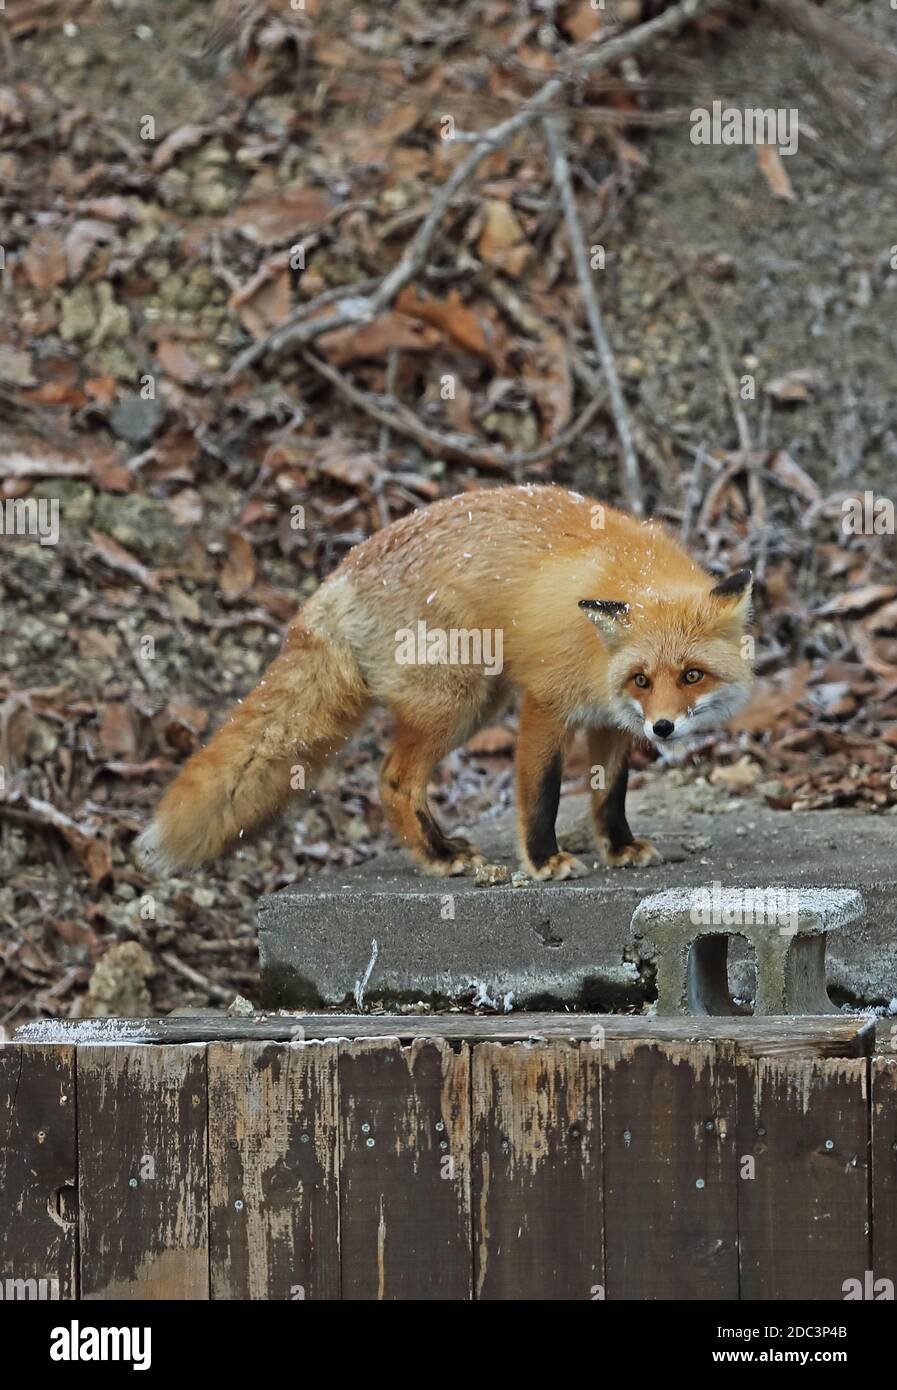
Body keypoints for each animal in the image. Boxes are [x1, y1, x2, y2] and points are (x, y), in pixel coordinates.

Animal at [137, 484, 754, 881]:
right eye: (644, 678)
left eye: (692, 675)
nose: (664, 728)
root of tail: (341, 572)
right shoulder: (547, 702)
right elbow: (543, 793)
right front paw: (543, 860)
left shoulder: (613, 719)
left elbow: (610, 793)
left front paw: (620, 847)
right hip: (458, 702)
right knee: (393, 779)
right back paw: (437, 857)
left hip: (479, 704)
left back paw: (442, 846)